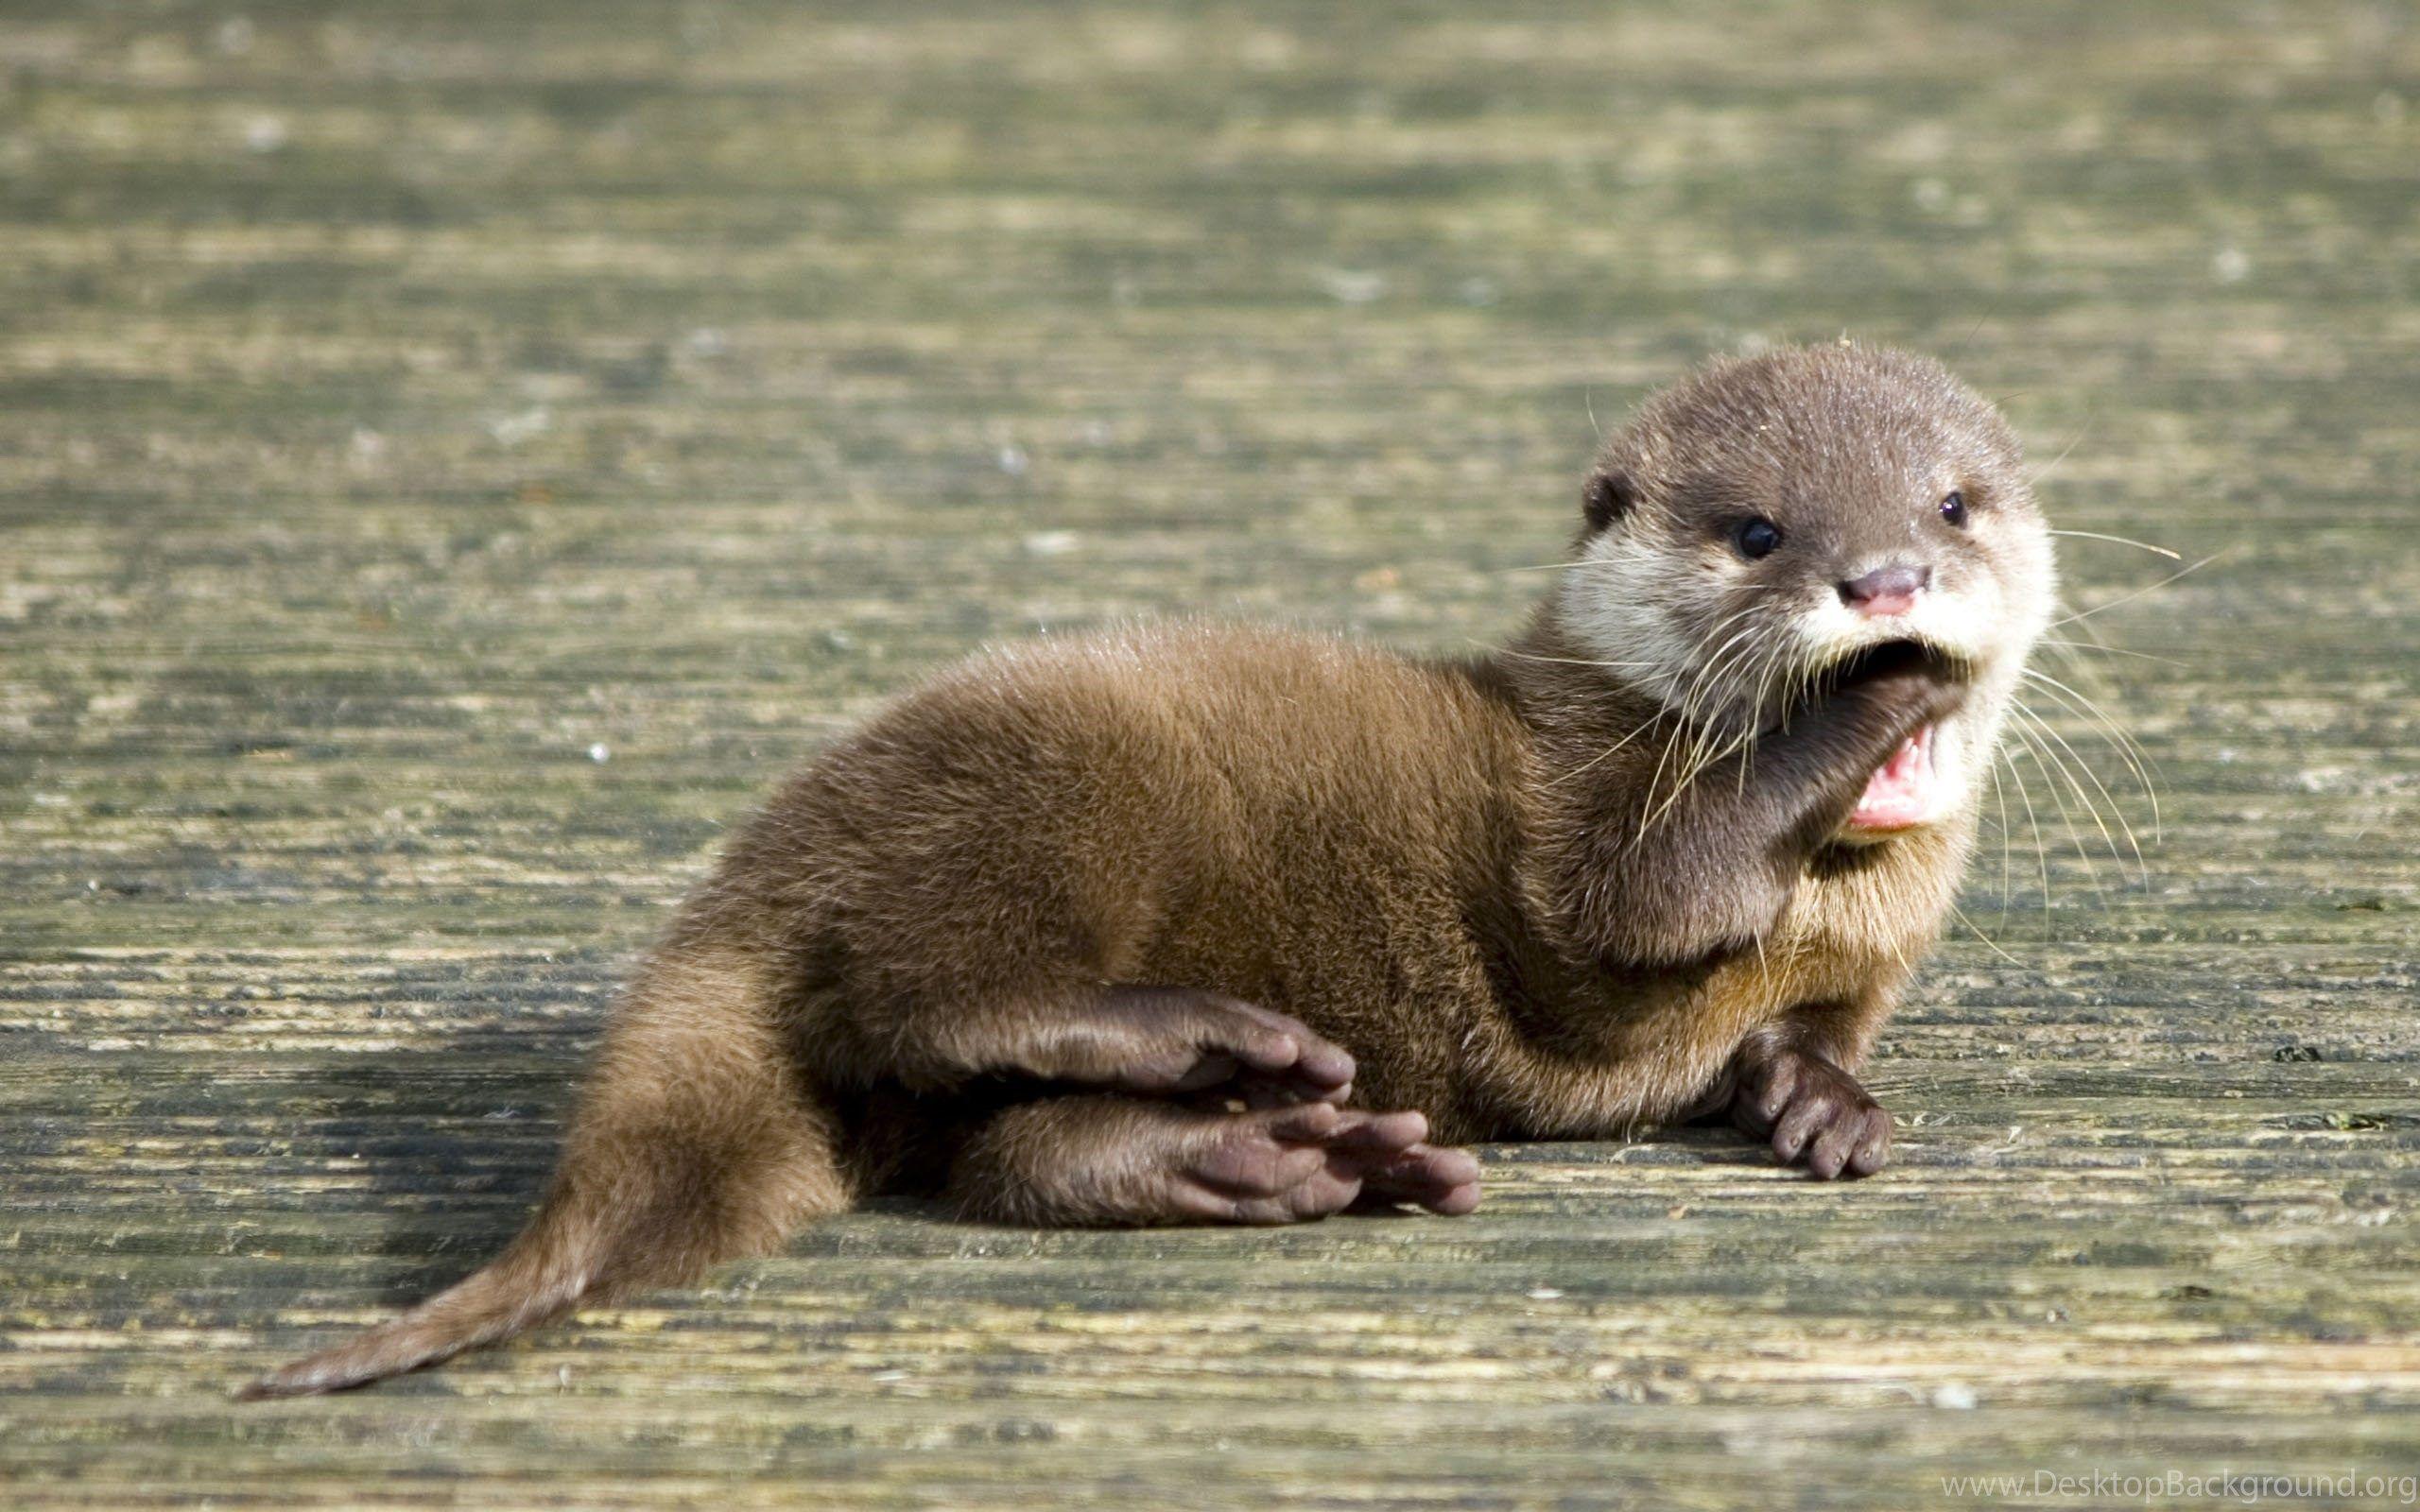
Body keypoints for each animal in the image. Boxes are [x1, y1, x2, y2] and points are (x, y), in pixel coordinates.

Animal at [242, 342, 2055, 1398]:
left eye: (1952, 505)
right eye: (1756, 532)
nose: (1884, 582)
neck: (1841, 903)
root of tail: (767, 861)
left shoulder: (1865, 960)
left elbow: (1817, 1032)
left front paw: (1820, 1100)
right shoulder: (1583, 814)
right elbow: (1668, 884)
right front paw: (1879, 697)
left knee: (1001, 1151)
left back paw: (1283, 1156)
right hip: (1056, 802)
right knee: (933, 997)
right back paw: (1219, 1051)